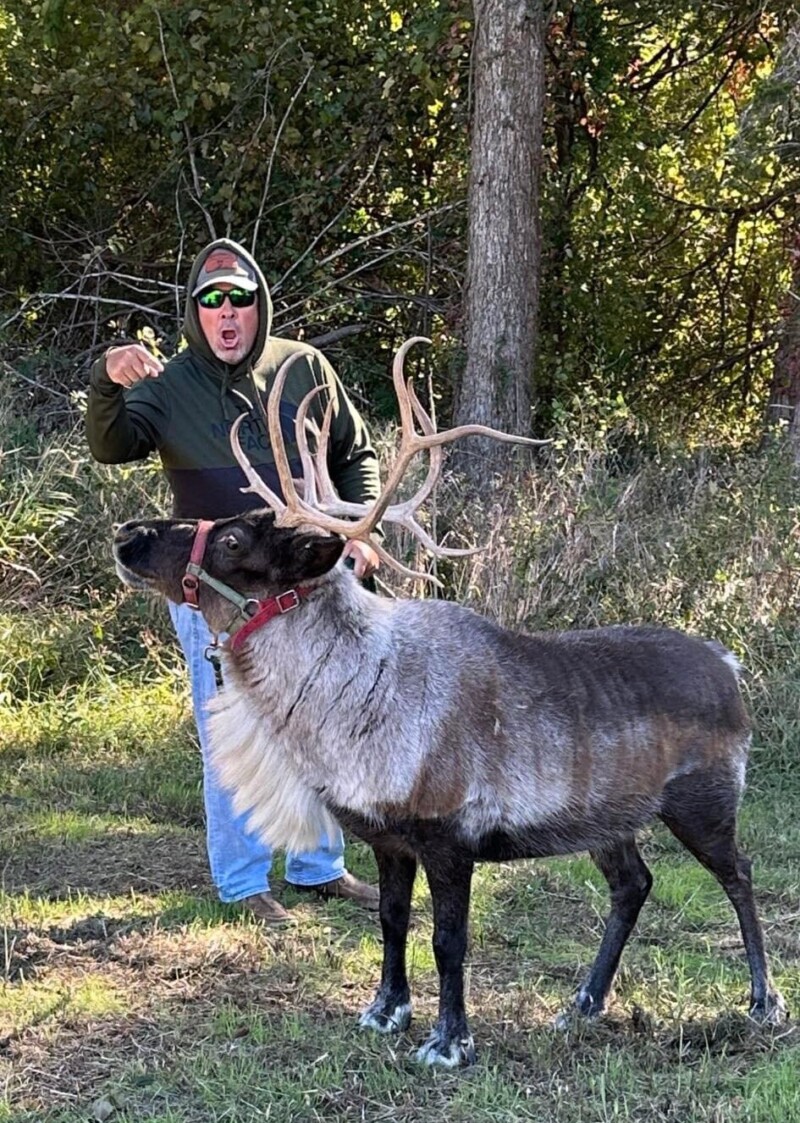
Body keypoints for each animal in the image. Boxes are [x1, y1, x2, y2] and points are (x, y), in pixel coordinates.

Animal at [112, 338, 787, 1067]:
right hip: (611, 818)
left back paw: (762, 999)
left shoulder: (450, 836)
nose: (128, 534)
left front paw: (450, 1039)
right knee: (633, 884)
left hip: (703, 801)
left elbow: (448, 940)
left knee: (739, 874)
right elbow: (391, 920)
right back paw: (582, 1003)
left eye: (234, 541)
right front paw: (385, 1010)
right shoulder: (385, 836)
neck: (348, 707)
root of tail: (729, 665)